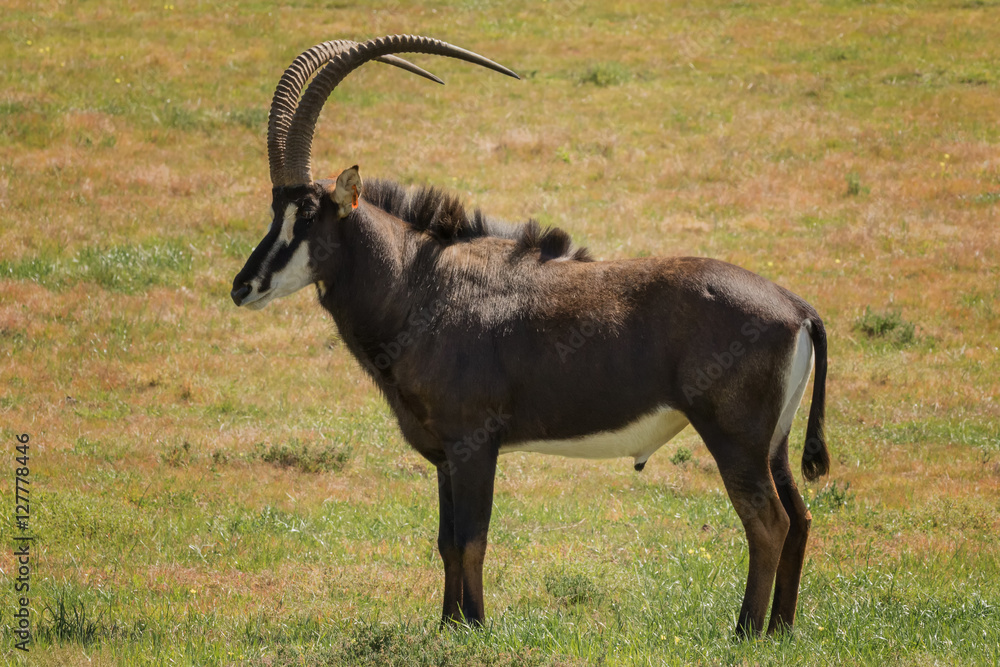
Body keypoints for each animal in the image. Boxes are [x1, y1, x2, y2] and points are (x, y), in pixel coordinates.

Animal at [230, 34, 830, 637]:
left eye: (309, 215)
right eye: (275, 209)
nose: (243, 286)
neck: (420, 282)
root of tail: (797, 308)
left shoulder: (475, 445)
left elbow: (471, 540)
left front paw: (475, 625)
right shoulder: (445, 455)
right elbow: (446, 542)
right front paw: (448, 626)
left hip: (735, 439)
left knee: (767, 521)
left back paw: (745, 630)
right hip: (773, 445)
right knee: (799, 517)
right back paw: (780, 630)